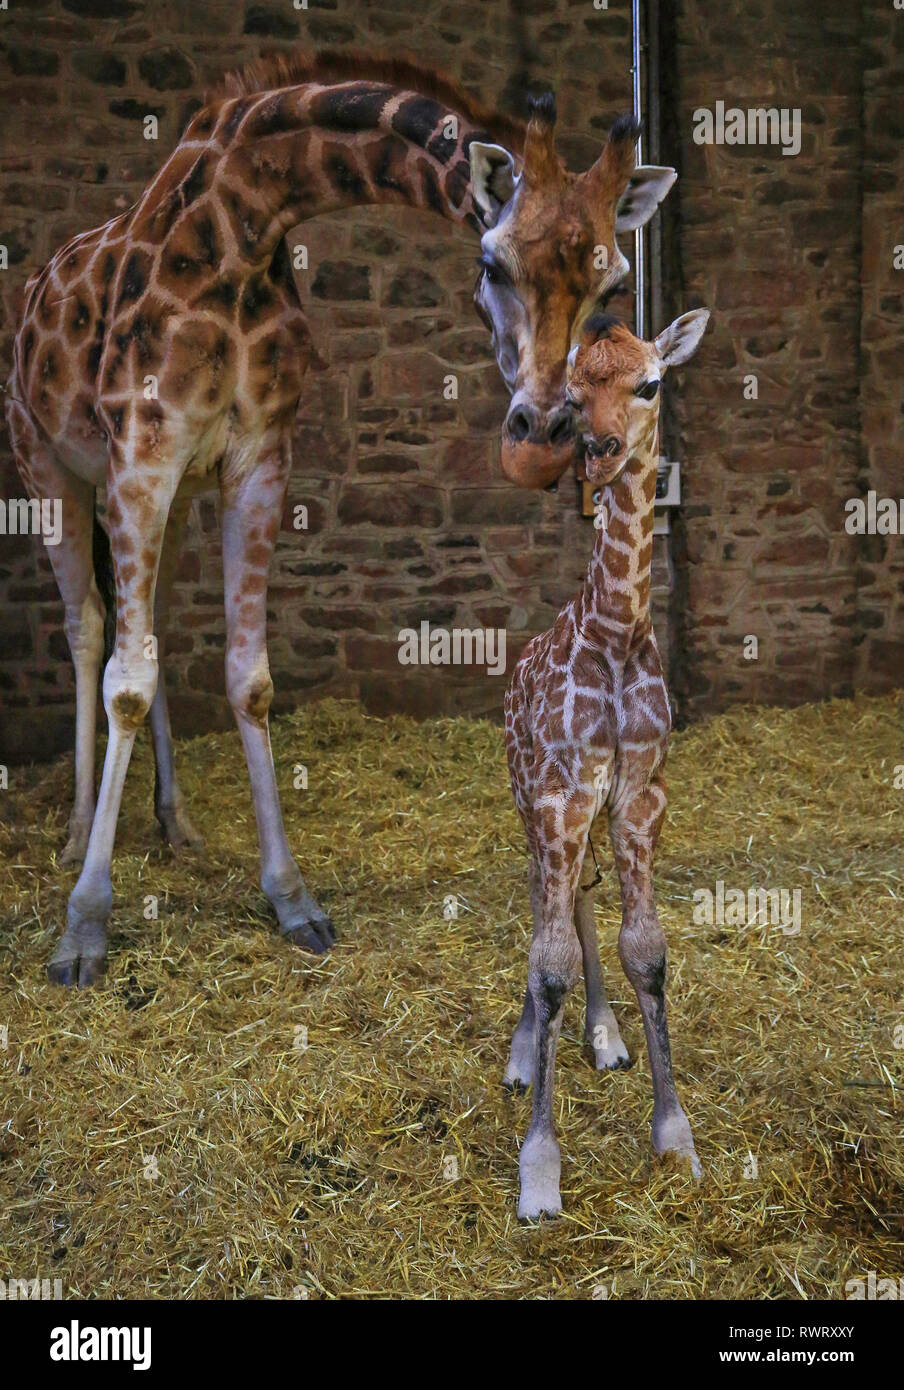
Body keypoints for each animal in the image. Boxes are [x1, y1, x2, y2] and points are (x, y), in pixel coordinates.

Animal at [4, 49, 677, 988]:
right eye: (493, 262)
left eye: (613, 280)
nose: (543, 439)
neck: (245, 223)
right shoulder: (142, 450)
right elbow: (124, 684)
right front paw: (84, 927)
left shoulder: (253, 460)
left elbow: (247, 678)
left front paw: (291, 898)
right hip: (50, 467)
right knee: (88, 628)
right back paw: (72, 834)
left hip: (167, 496)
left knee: (150, 628)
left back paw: (175, 823)